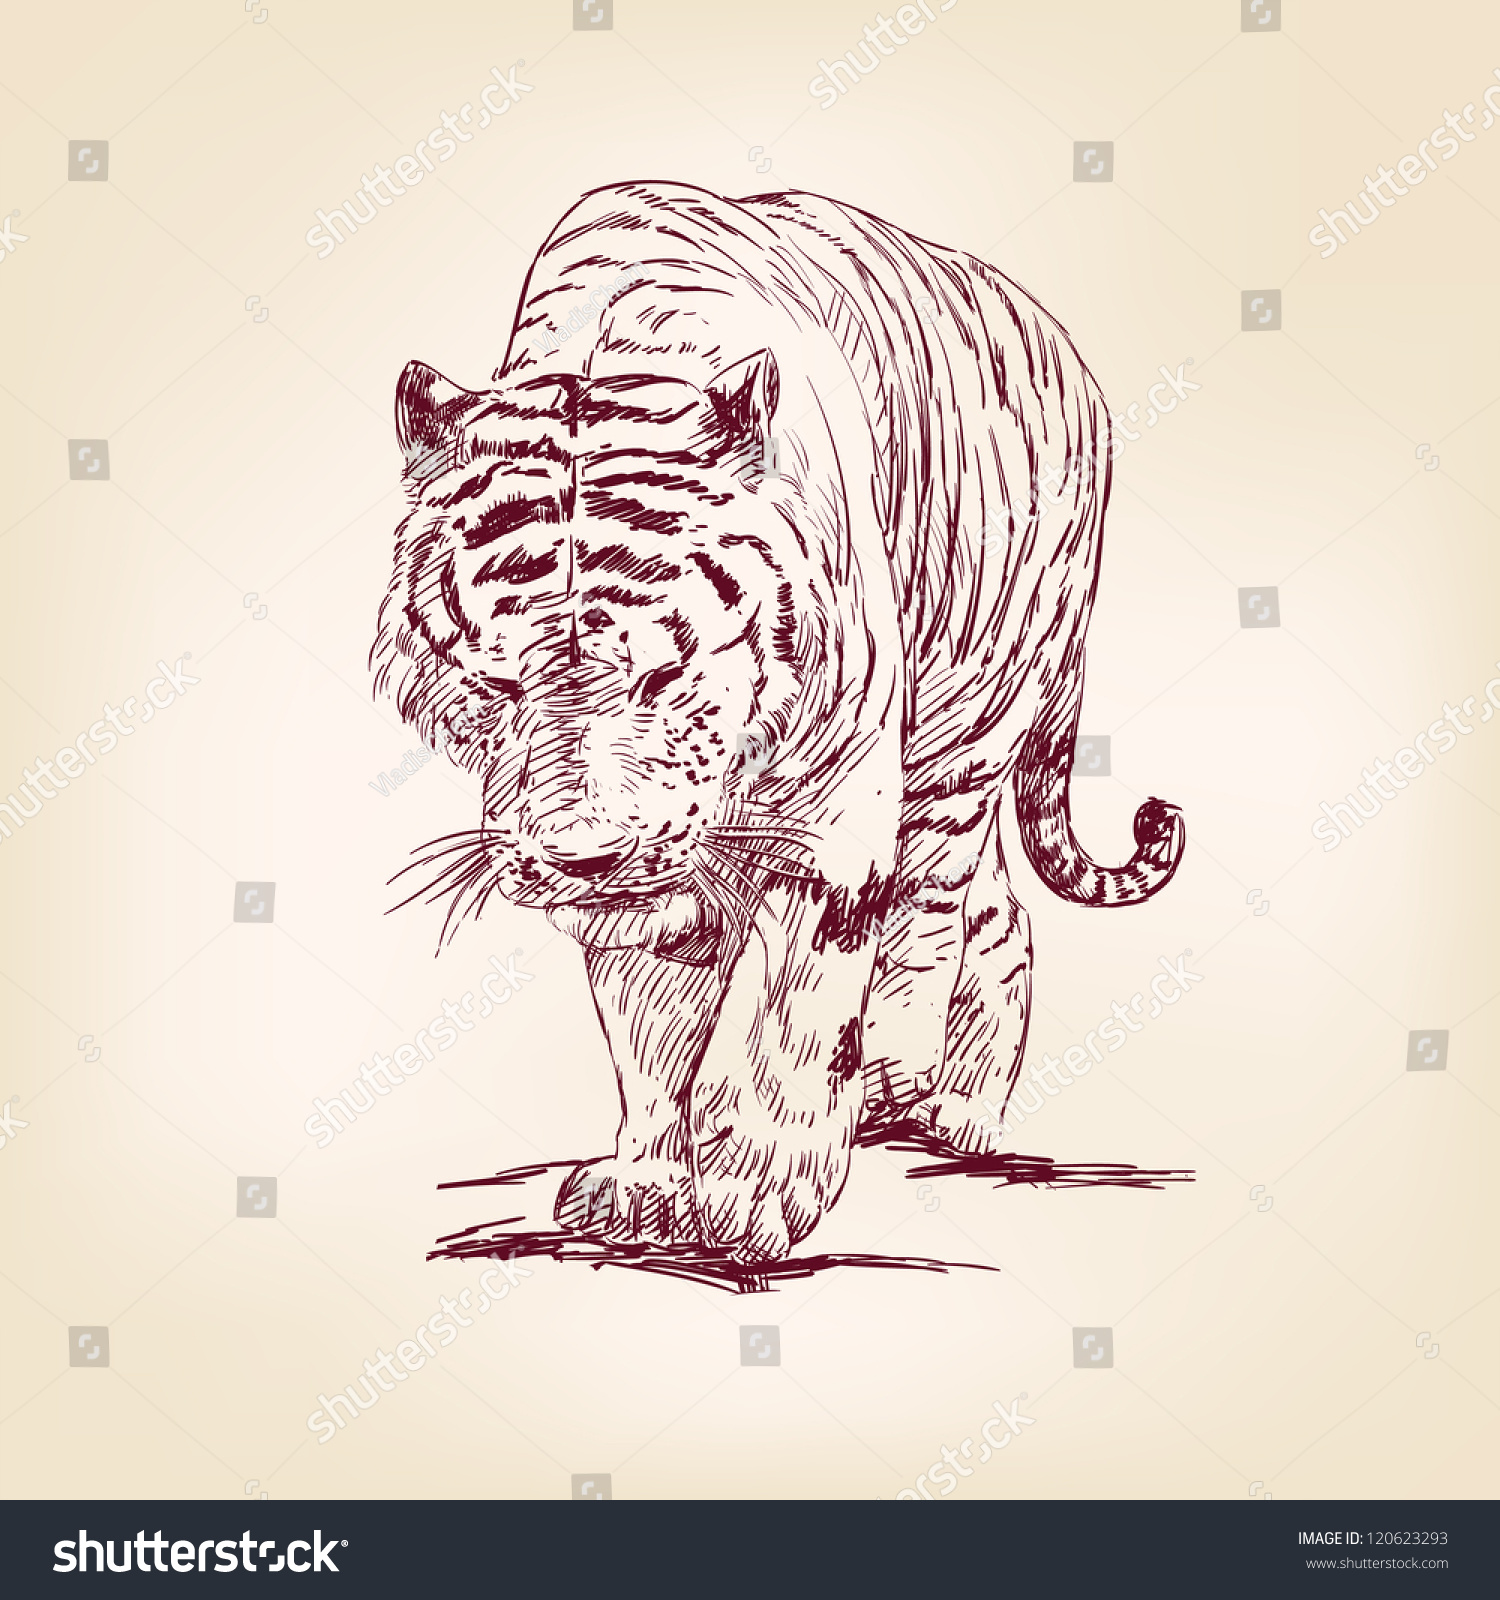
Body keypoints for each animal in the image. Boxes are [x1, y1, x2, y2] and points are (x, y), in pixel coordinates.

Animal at [372, 180, 1185, 1265]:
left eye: (663, 673)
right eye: (497, 681)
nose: (584, 856)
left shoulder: (832, 808)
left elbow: (792, 1009)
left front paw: (753, 1194)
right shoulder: (651, 892)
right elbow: (649, 1020)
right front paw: (644, 1182)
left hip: (967, 733)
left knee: (934, 912)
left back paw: (918, 1097)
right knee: (999, 914)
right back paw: (955, 1103)